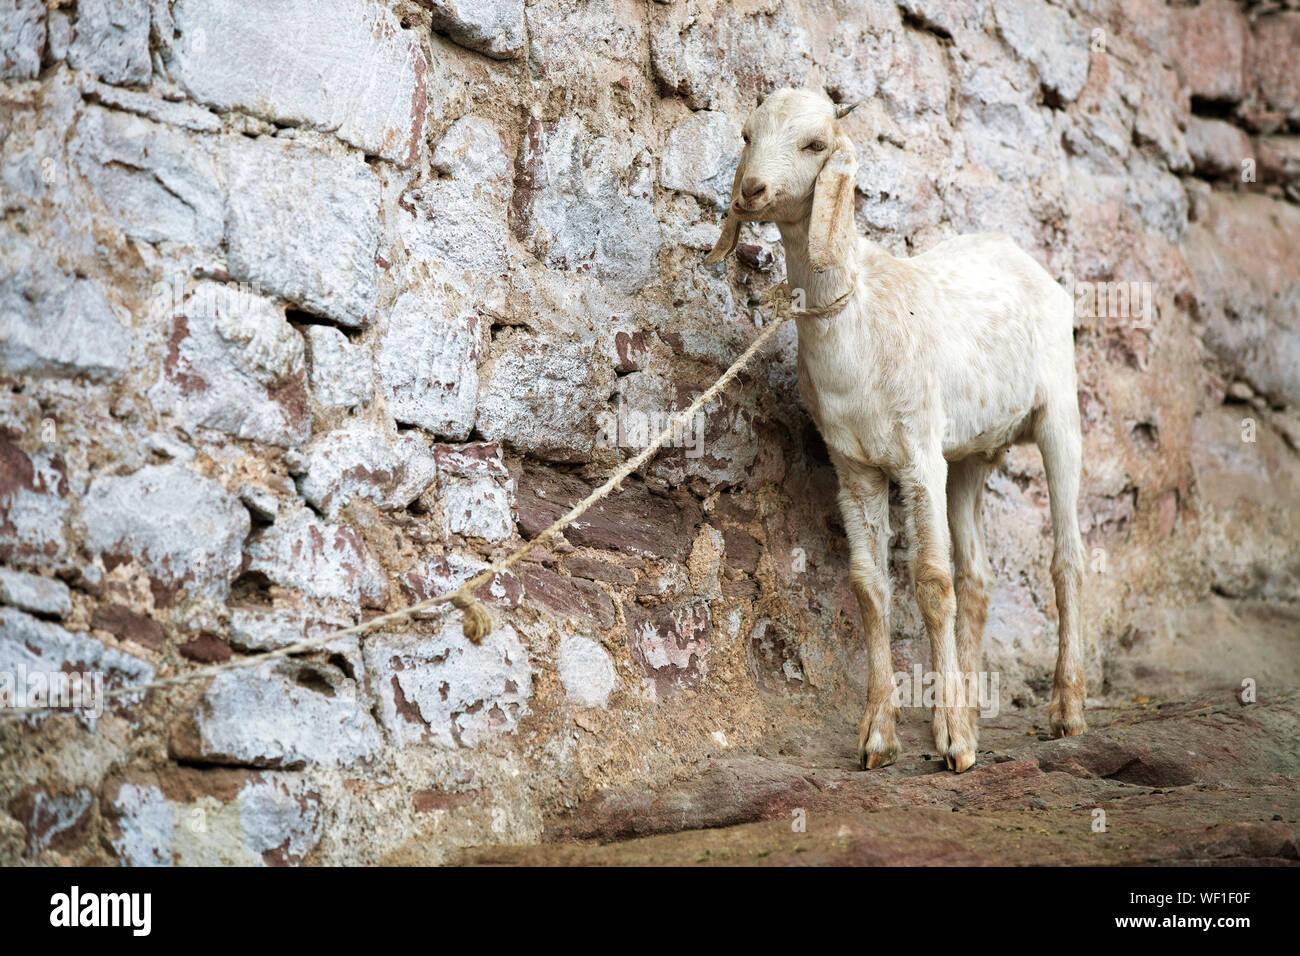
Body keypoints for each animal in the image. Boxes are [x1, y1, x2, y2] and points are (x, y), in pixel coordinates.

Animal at [705, 89, 1086, 773]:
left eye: (814, 144)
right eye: (747, 135)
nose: (751, 190)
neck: (857, 316)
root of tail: (1018, 254)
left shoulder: (917, 457)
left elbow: (932, 582)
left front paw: (955, 744)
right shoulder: (854, 466)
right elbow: (869, 588)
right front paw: (881, 735)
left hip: (1058, 416)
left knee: (1066, 559)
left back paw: (1065, 710)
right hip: (966, 454)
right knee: (979, 577)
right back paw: (973, 709)